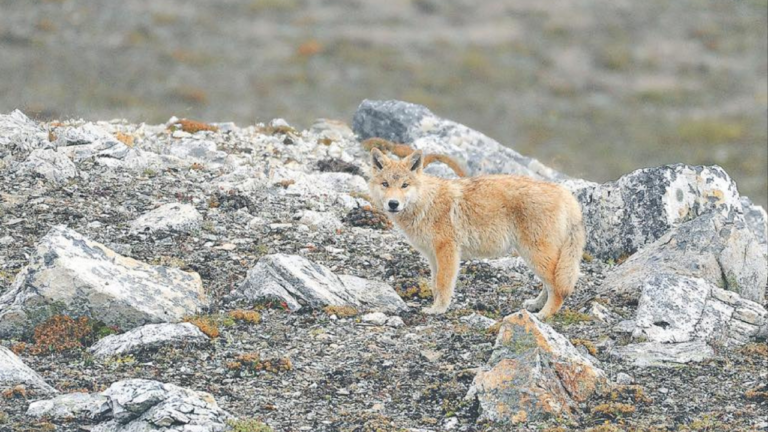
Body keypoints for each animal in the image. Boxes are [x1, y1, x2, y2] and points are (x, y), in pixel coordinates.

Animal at [368, 147, 585, 319]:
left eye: (404, 185)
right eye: (385, 184)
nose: (393, 204)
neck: (426, 204)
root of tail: (565, 194)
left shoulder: (447, 251)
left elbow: (444, 284)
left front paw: (438, 309)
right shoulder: (432, 256)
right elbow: (435, 283)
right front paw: (435, 305)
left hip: (535, 254)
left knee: (558, 289)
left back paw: (543, 315)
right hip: (533, 256)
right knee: (549, 285)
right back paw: (535, 305)